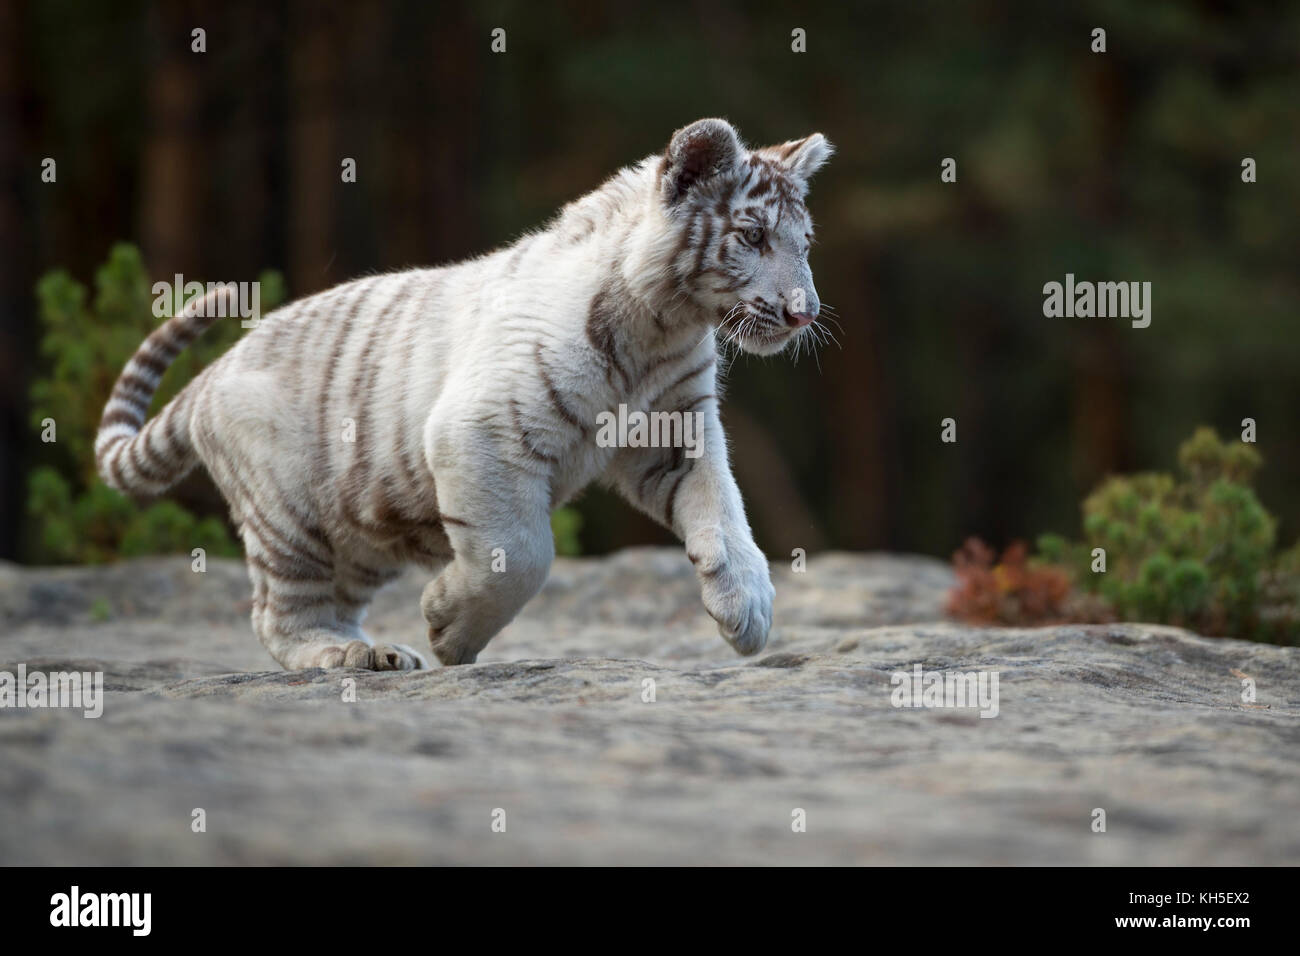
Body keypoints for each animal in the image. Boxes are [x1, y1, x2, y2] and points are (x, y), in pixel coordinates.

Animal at [93, 117, 833, 670]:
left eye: (804, 243)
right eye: (752, 237)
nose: (805, 314)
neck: (663, 325)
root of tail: (209, 376)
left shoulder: (676, 428)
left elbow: (723, 507)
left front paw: (748, 606)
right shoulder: (482, 429)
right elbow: (523, 552)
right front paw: (449, 625)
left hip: (358, 531)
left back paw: (378, 652)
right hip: (287, 513)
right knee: (279, 614)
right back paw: (341, 655)